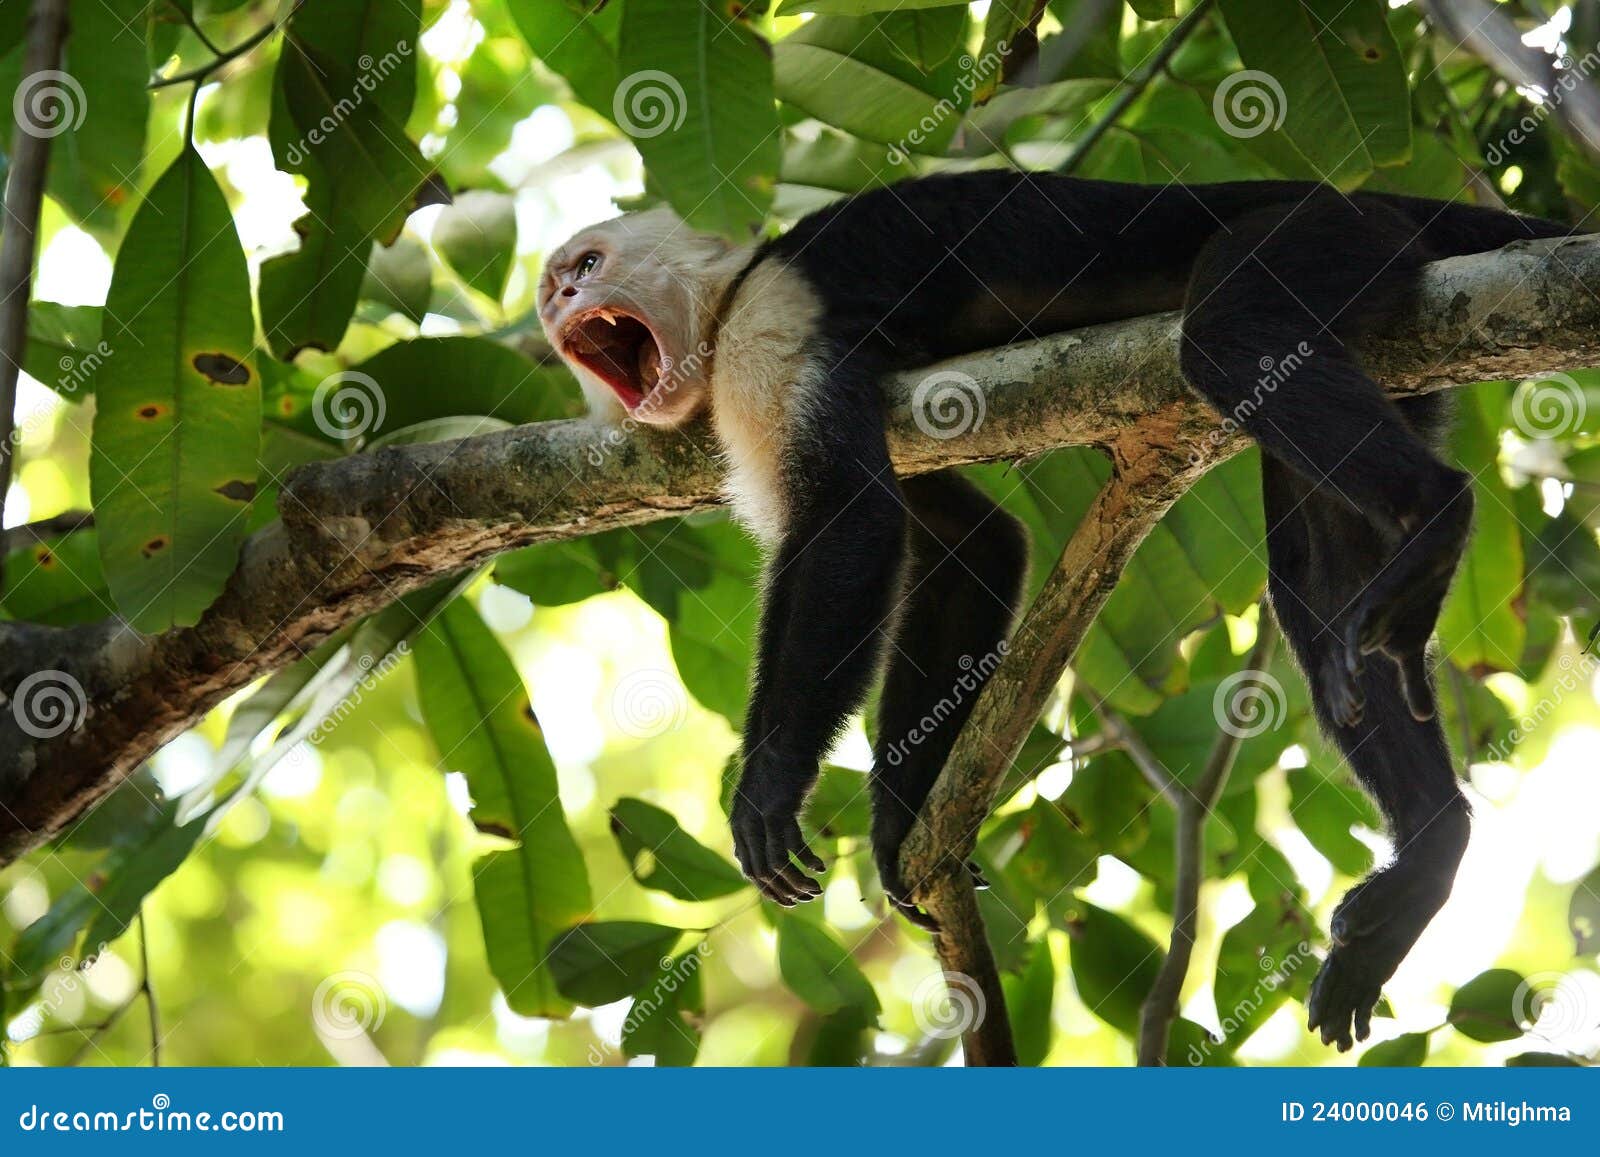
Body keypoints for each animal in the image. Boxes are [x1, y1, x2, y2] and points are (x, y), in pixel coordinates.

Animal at [538, 171, 1573, 1052]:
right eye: (554, 288)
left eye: (584, 267)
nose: (552, 305)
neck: (727, 299)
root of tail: (1366, 196)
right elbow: (973, 548)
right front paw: (900, 825)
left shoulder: (771, 323)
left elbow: (849, 522)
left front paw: (768, 786)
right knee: (1322, 616)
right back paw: (1431, 843)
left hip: (1330, 236)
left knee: (1232, 334)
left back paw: (1433, 514)